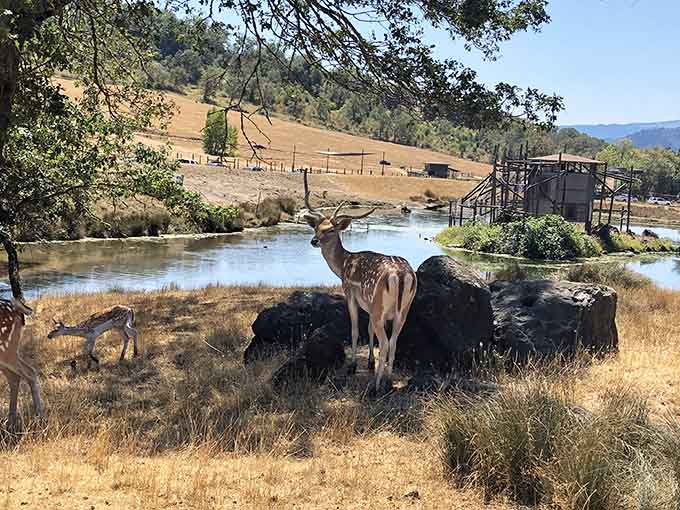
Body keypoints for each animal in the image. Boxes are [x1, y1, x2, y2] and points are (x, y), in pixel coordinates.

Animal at [300, 170, 417, 392]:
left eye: (331, 230)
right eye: (316, 227)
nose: (313, 241)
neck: (343, 265)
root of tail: (400, 276)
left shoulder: (350, 294)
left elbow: (355, 330)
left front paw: (353, 366)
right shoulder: (370, 306)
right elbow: (369, 330)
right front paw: (369, 362)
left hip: (380, 306)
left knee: (385, 342)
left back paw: (376, 385)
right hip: (403, 310)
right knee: (395, 340)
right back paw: (388, 380)